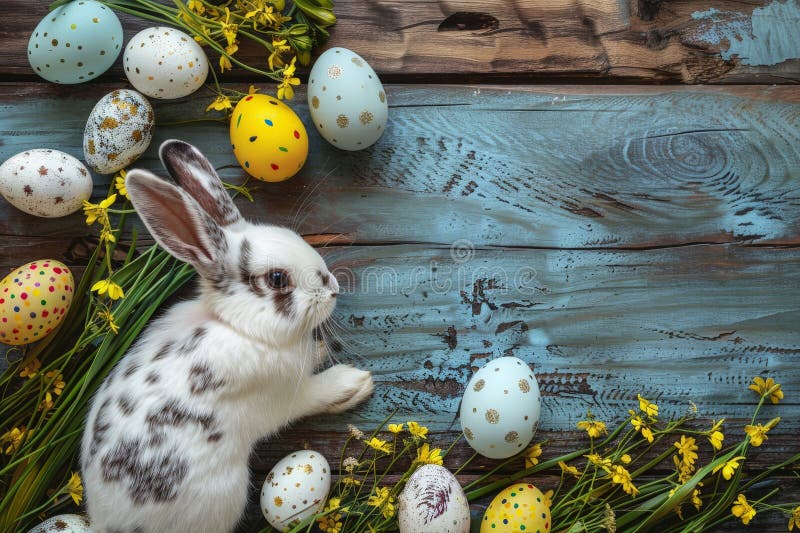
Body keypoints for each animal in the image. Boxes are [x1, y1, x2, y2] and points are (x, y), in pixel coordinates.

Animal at [80, 140, 374, 533]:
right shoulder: (285, 395)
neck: (242, 328)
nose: (333, 289)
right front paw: (354, 383)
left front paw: (320, 349)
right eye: (277, 279)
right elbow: (315, 394)